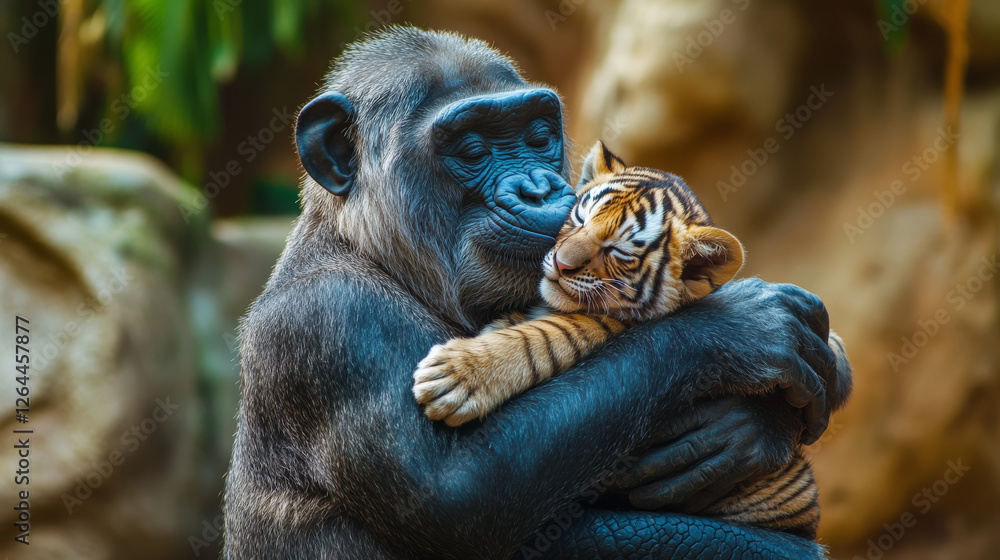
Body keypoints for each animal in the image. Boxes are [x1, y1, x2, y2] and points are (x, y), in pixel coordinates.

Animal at [412, 140, 848, 540]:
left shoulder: (598, 329)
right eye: (579, 218)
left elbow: (544, 338)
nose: (560, 264)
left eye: (619, 251)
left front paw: (455, 376)